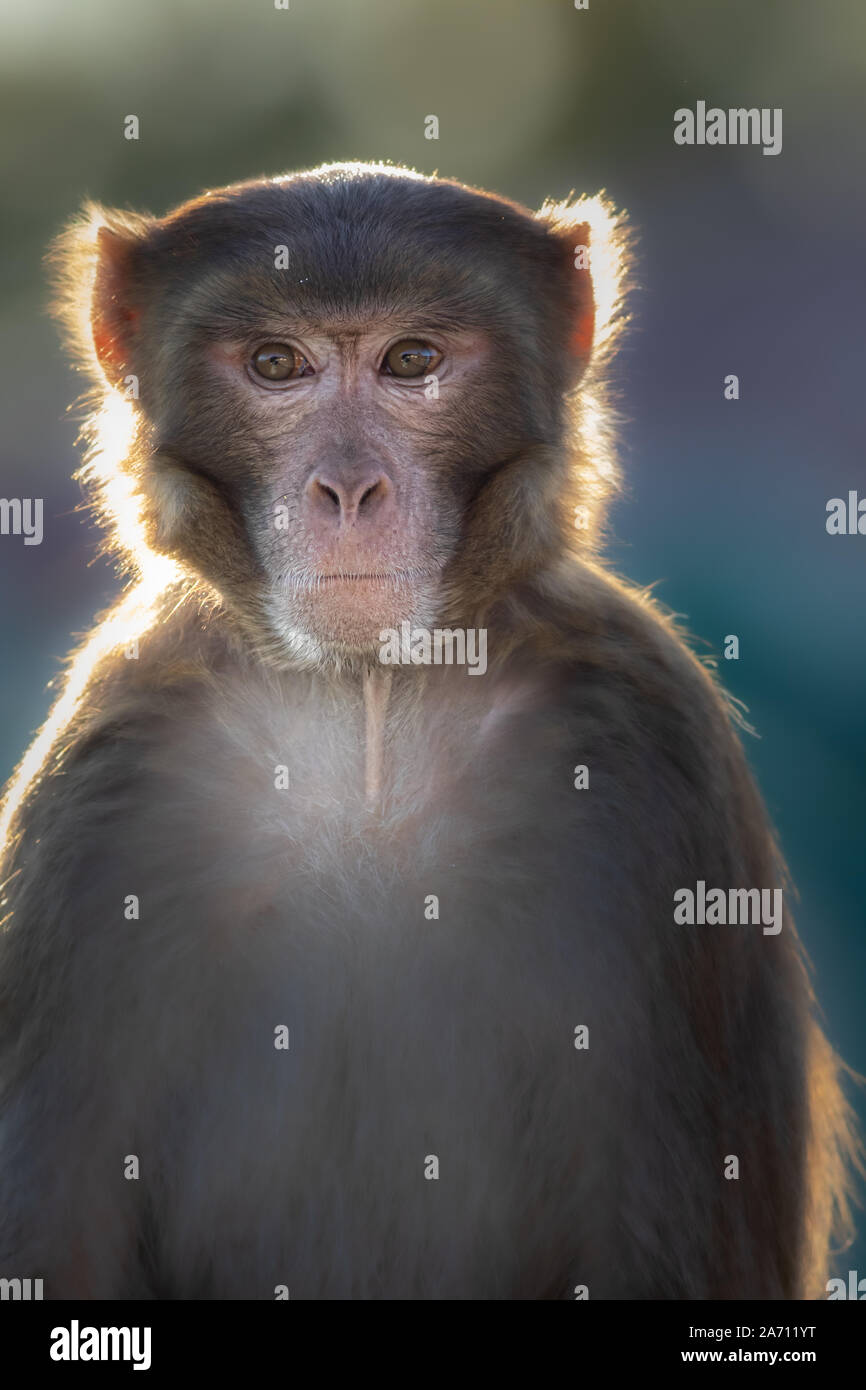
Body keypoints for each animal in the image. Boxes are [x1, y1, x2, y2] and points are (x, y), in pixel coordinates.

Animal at [0, 161, 858, 1300]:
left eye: (411, 362)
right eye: (276, 364)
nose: (347, 490)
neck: (366, 703)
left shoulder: (652, 738)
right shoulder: (105, 761)